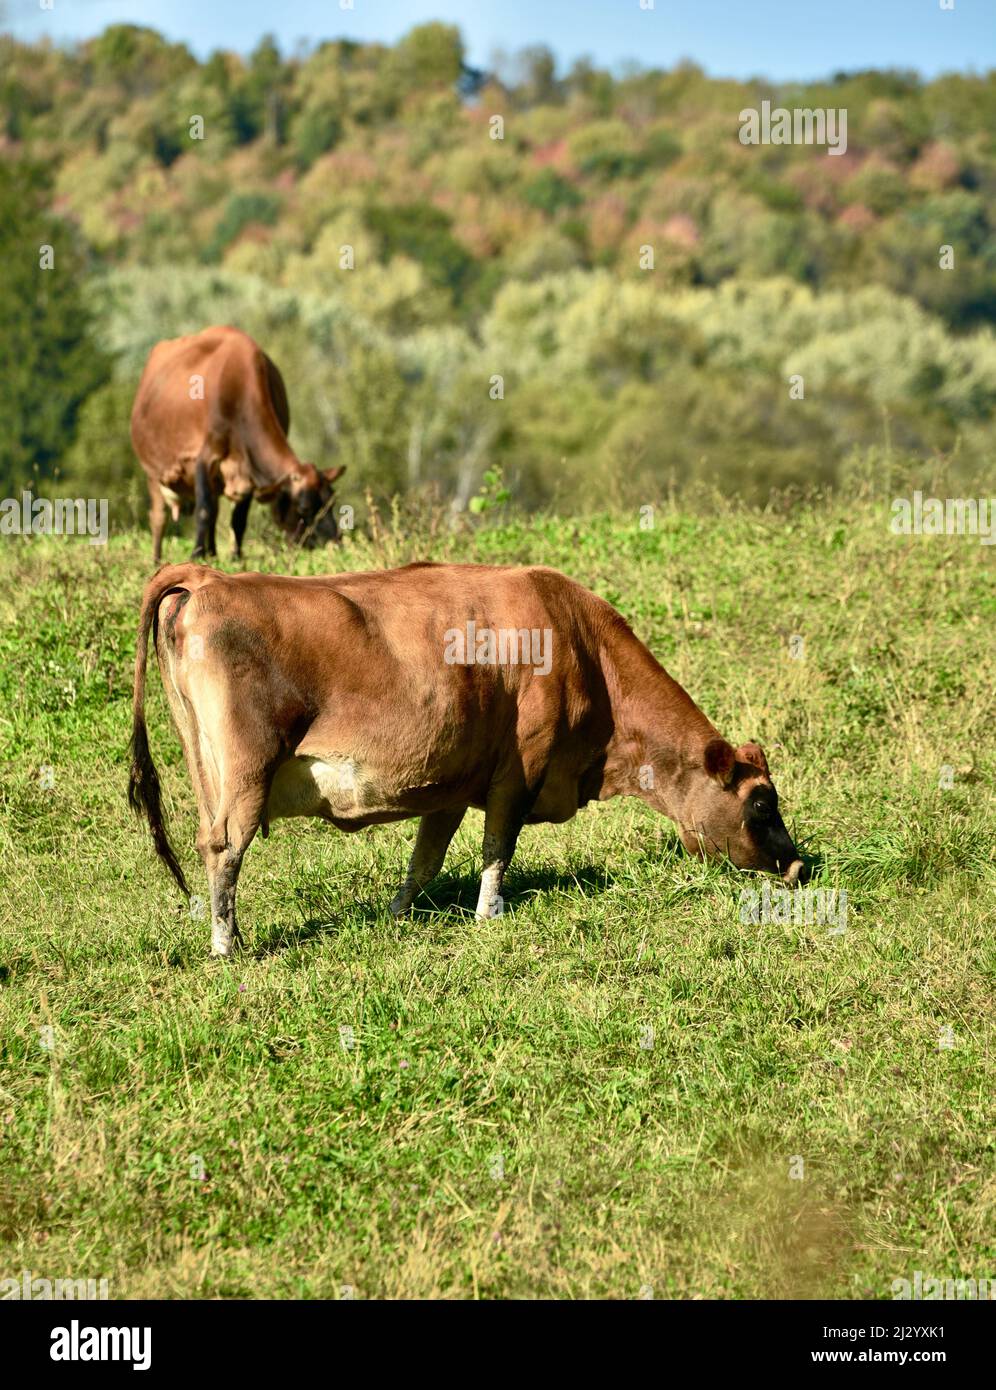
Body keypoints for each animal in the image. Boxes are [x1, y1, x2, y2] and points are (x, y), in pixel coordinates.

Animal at [129, 560, 805, 957]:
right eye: (761, 801)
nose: (799, 866)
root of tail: (209, 579)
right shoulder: (521, 770)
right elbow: (498, 849)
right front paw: (488, 916)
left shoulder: (451, 782)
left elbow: (424, 861)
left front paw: (397, 916)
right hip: (246, 769)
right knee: (224, 847)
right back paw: (227, 946)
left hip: (205, 766)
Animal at [130, 325, 346, 563]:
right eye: (304, 507)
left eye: (332, 502)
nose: (335, 545)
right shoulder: (205, 458)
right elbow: (203, 510)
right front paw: (196, 554)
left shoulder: (249, 470)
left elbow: (238, 519)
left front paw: (235, 557)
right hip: (154, 472)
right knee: (159, 516)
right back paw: (158, 559)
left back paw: (212, 553)